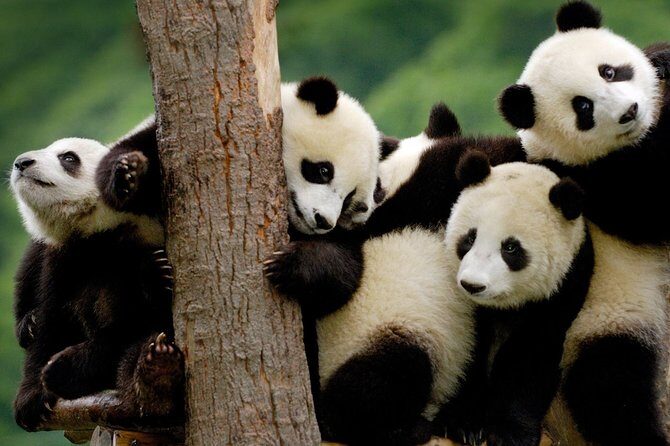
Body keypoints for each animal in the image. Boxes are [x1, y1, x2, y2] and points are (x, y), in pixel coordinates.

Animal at [10, 123, 183, 431]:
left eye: (68, 157)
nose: (22, 162)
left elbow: (128, 323)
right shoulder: (64, 259)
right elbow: (51, 321)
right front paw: (31, 398)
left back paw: (155, 375)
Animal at [433, 153, 593, 446]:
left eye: (510, 248)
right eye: (469, 238)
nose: (473, 285)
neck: (502, 306)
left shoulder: (565, 286)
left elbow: (531, 357)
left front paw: (509, 433)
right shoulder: (469, 308)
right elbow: (469, 346)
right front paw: (462, 423)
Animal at [497, 2, 670, 444]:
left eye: (608, 71)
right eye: (583, 108)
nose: (630, 112)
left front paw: (663, 59)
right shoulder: (593, 182)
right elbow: (654, 204)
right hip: (601, 321)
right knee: (610, 388)